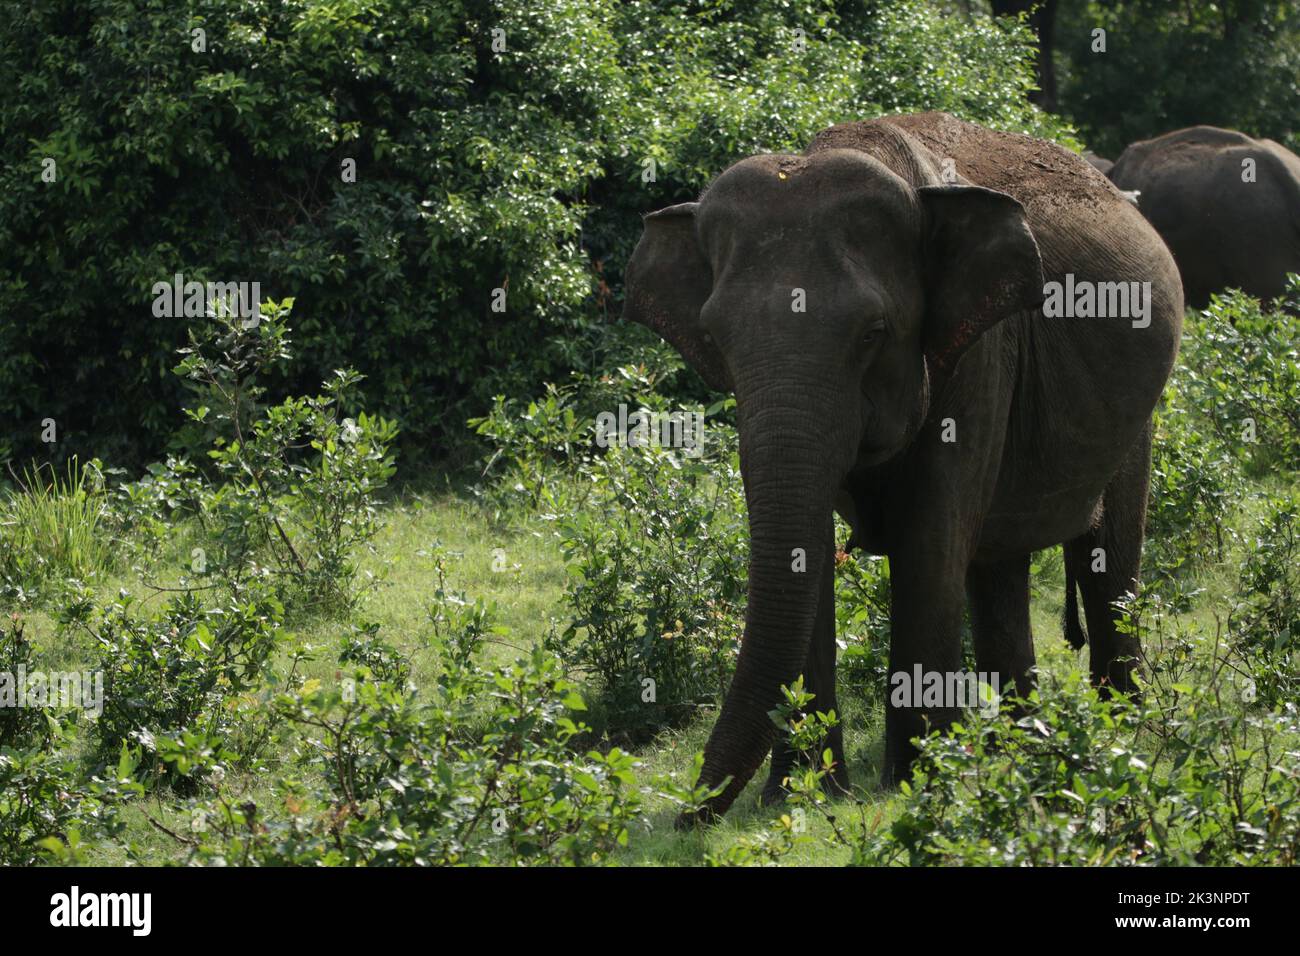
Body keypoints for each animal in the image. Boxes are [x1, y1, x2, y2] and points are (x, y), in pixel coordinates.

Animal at [622, 111, 1183, 823]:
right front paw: (803, 795)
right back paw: (1019, 747)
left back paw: (1114, 732)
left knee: (1106, 556)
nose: (684, 815)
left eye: (872, 334)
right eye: (716, 338)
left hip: (1138, 411)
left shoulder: (980, 351)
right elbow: (810, 552)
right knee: (998, 565)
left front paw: (919, 783)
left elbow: (929, 543)